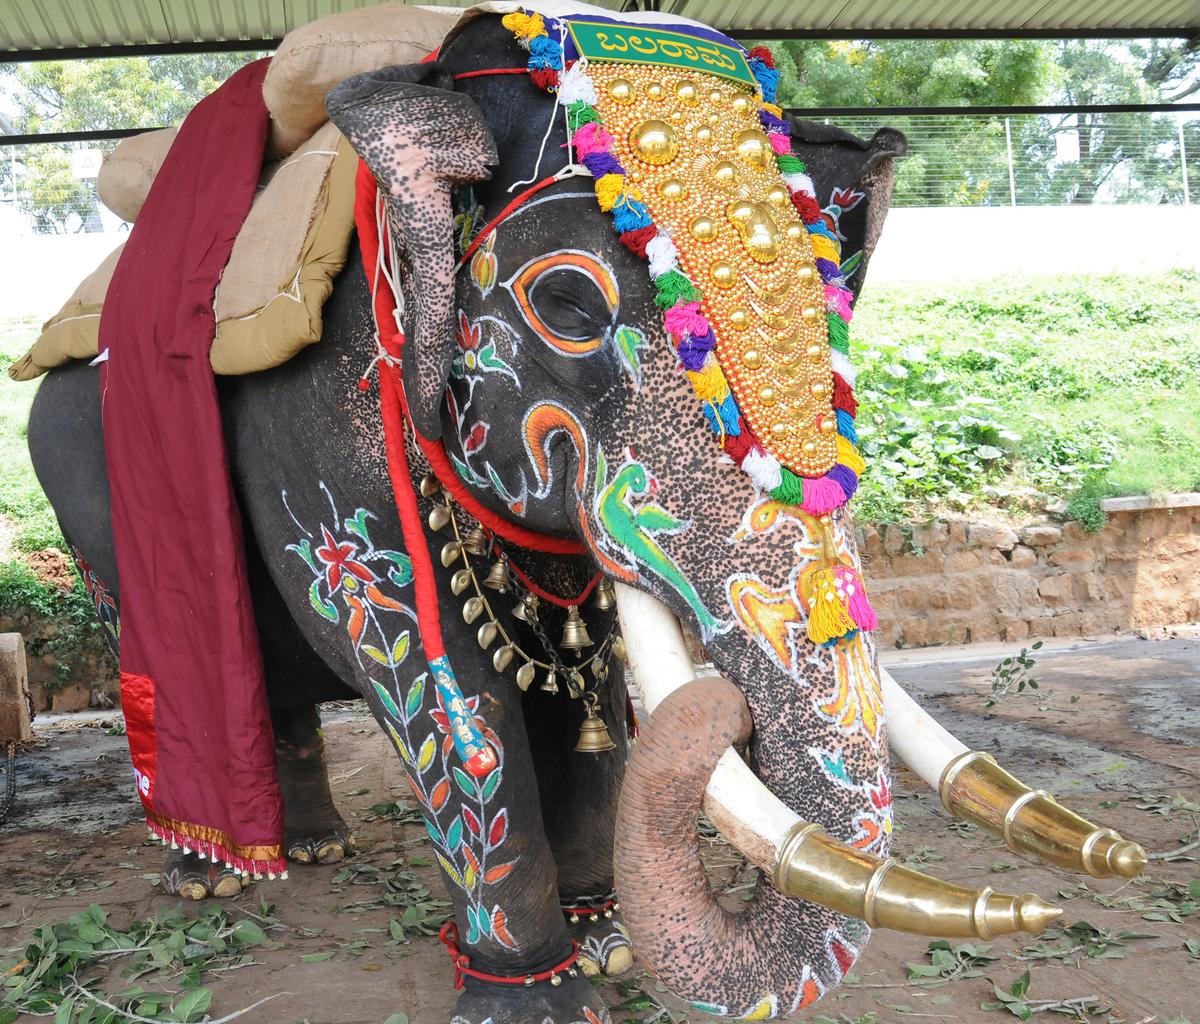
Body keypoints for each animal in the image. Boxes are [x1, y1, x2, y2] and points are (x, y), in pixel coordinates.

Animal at [21, 9, 1146, 1024]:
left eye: (840, 302)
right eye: (567, 303)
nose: (727, 710)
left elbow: (594, 678)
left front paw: (606, 947)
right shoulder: (330, 438)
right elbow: (444, 690)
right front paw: (540, 1001)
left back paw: (312, 846)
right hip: (86, 482)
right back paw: (211, 873)